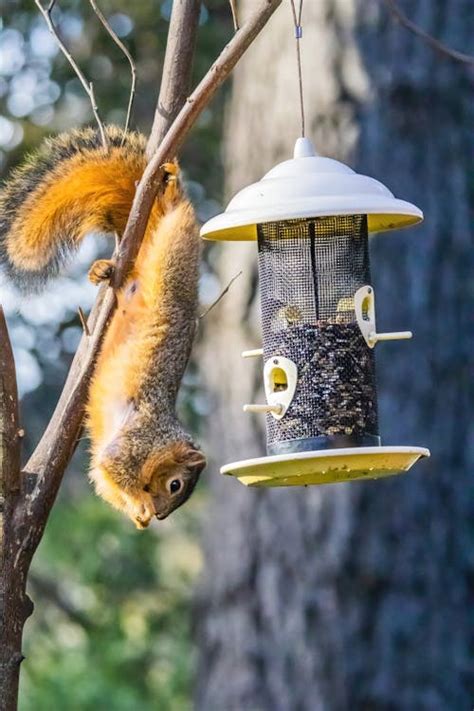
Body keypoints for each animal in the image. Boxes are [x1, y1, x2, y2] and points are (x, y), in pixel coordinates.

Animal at [0, 125, 206, 528]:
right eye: (175, 485)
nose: (160, 516)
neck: (163, 434)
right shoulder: (134, 443)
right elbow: (114, 468)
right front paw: (140, 506)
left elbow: (104, 478)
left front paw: (137, 515)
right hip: (176, 260)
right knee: (177, 219)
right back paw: (172, 193)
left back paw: (107, 270)